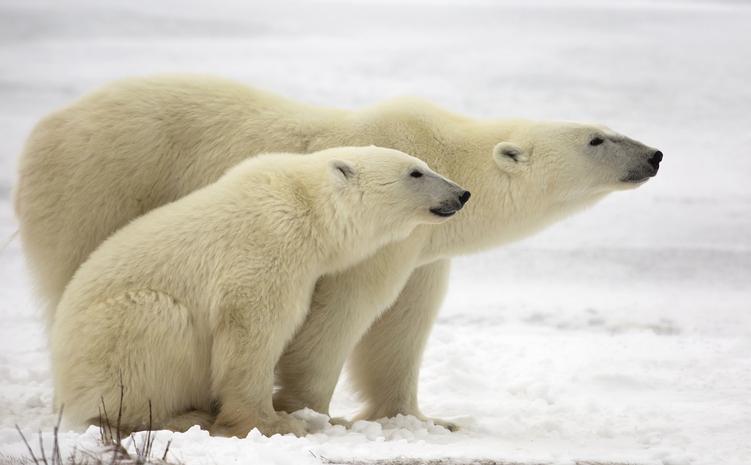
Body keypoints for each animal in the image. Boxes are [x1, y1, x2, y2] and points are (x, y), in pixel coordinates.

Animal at [50, 145, 469, 437]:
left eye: (424, 165)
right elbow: (253, 331)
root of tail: (63, 376)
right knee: (157, 322)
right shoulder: (266, 248)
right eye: (415, 171)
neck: (308, 207)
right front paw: (276, 422)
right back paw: (181, 416)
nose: (462, 193)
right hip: (111, 336)